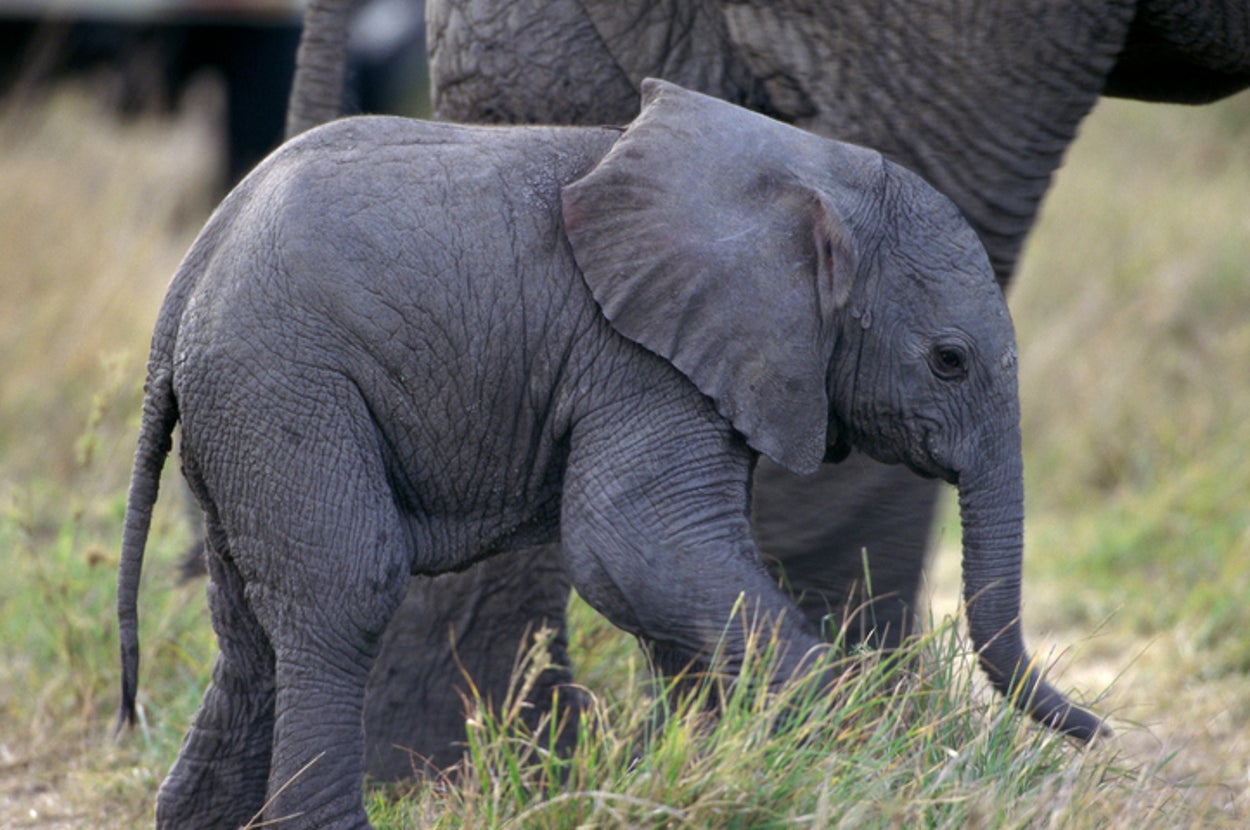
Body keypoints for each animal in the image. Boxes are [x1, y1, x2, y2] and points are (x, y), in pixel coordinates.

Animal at [118, 80, 1102, 828]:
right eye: (949, 360)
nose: (1104, 735)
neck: (808, 170)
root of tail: (185, 282)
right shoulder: (640, 359)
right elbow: (638, 550)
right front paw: (898, 764)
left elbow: (670, 584)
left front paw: (711, 767)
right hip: (286, 381)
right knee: (345, 593)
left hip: (241, 407)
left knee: (250, 633)